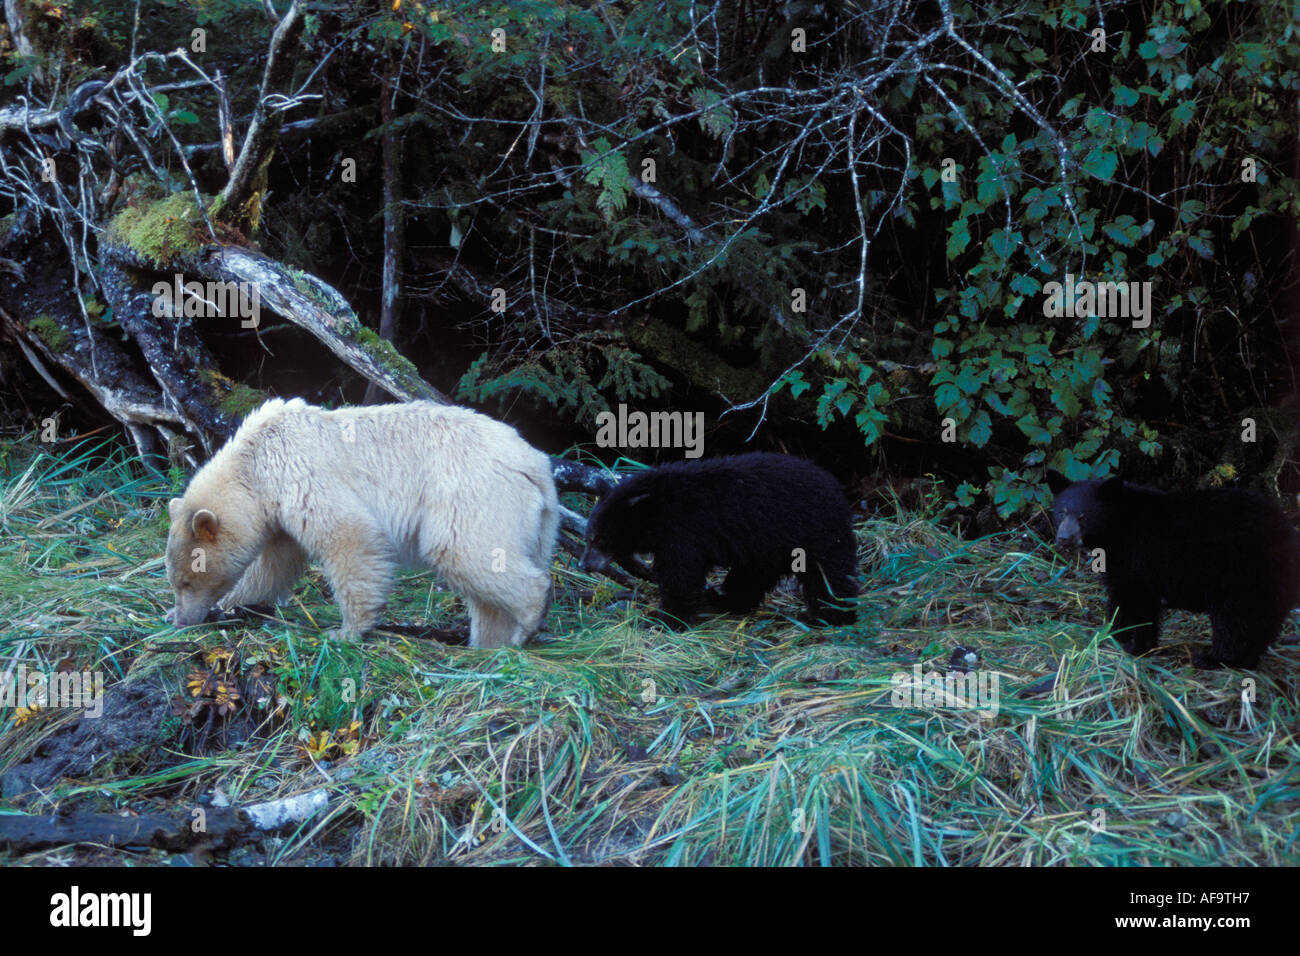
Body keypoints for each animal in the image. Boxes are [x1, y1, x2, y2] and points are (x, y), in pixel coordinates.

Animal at [165, 398, 559, 648]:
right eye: (175, 581)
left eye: (186, 581)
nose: (182, 619)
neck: (256, 461)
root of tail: (536, 466)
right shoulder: (277, 514)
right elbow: (274, 565)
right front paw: (228, 602)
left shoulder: (300, 473)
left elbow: (350, 535)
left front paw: (346, 631)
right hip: (529, 522)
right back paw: (492, 644)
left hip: (472, 495)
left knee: (464, 550)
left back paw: (526, 623)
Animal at [579, 453, 858, 628]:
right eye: (589, 536)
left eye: (599, 538)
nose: (583, 564)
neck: (660, 508)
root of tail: (838, 491)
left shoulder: (685, 533)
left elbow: (681, 576)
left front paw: (664, 619)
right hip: (766, 550)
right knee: (749, 578)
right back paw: (724, 600)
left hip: (814, 534)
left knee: (827, 575)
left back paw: (833, 615)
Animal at [1046, 470, 1300, 668]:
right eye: (1060, 512)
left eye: (1084, 516)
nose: (1064, 539)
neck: (1118, 526)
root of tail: (1288, 534)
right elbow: (1121, 597)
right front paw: (1112, 634)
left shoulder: (1139, 557)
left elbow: (1136, 600)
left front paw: (1135, 645)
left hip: (1242, 573)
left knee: (1237, 618)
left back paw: (1216, 659)